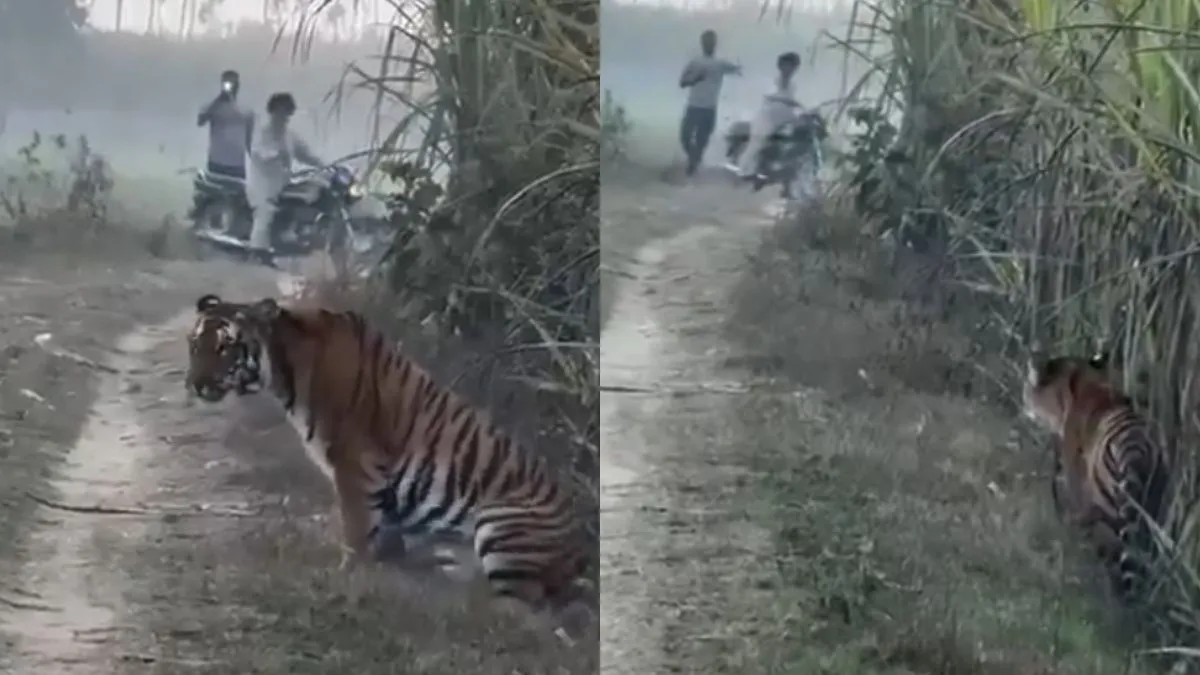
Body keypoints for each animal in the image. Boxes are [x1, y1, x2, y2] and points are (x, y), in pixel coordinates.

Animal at [185, 293, 595, 625]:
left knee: (524, 609)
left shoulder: (354, 463)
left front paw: (347, 578)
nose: (196, 384)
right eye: (194, 345)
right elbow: (383, 531)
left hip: (502, 522)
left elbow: (355, 529)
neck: (284, 367)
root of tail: (583, 551)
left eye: (225, 348)